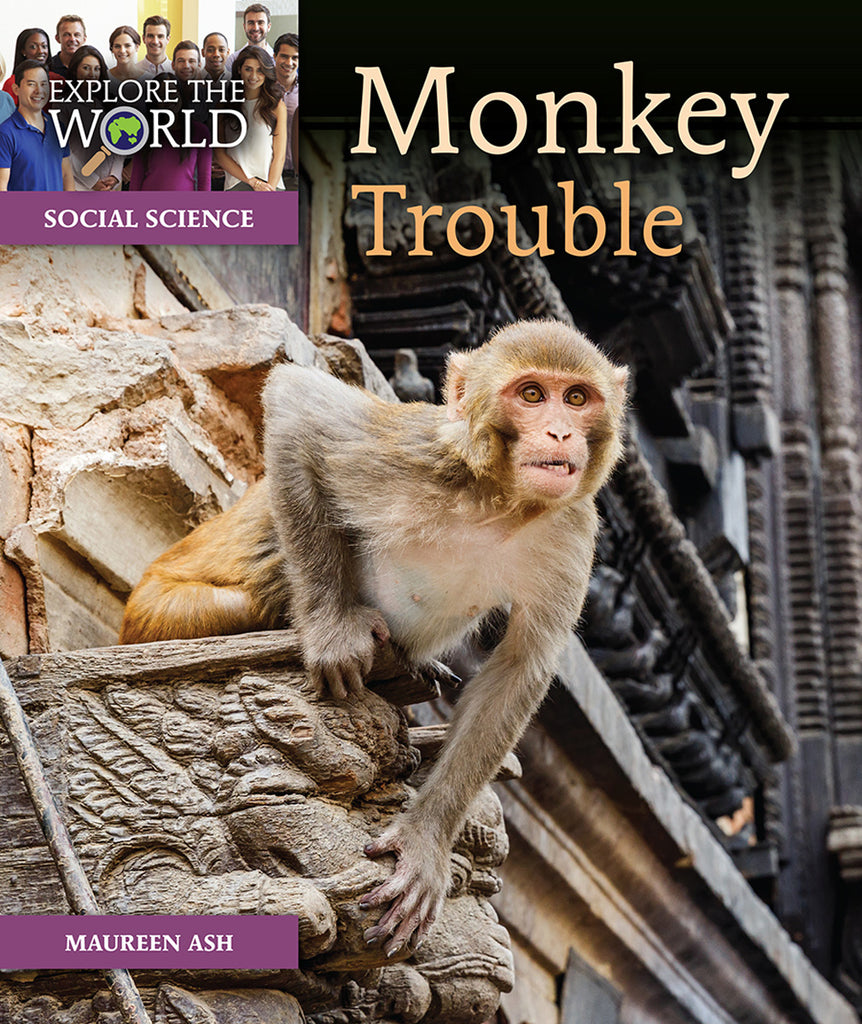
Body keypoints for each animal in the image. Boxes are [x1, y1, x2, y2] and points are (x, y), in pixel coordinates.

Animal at [119, 319, 628, 958]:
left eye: (577, 397)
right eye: (533, 394)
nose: (560, 430)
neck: (498, 501)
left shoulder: (572, 529)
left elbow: (518, 668)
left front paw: (425, 840)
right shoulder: (413, 454)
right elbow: (299, 404)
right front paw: (334, 629)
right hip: (162, 614)